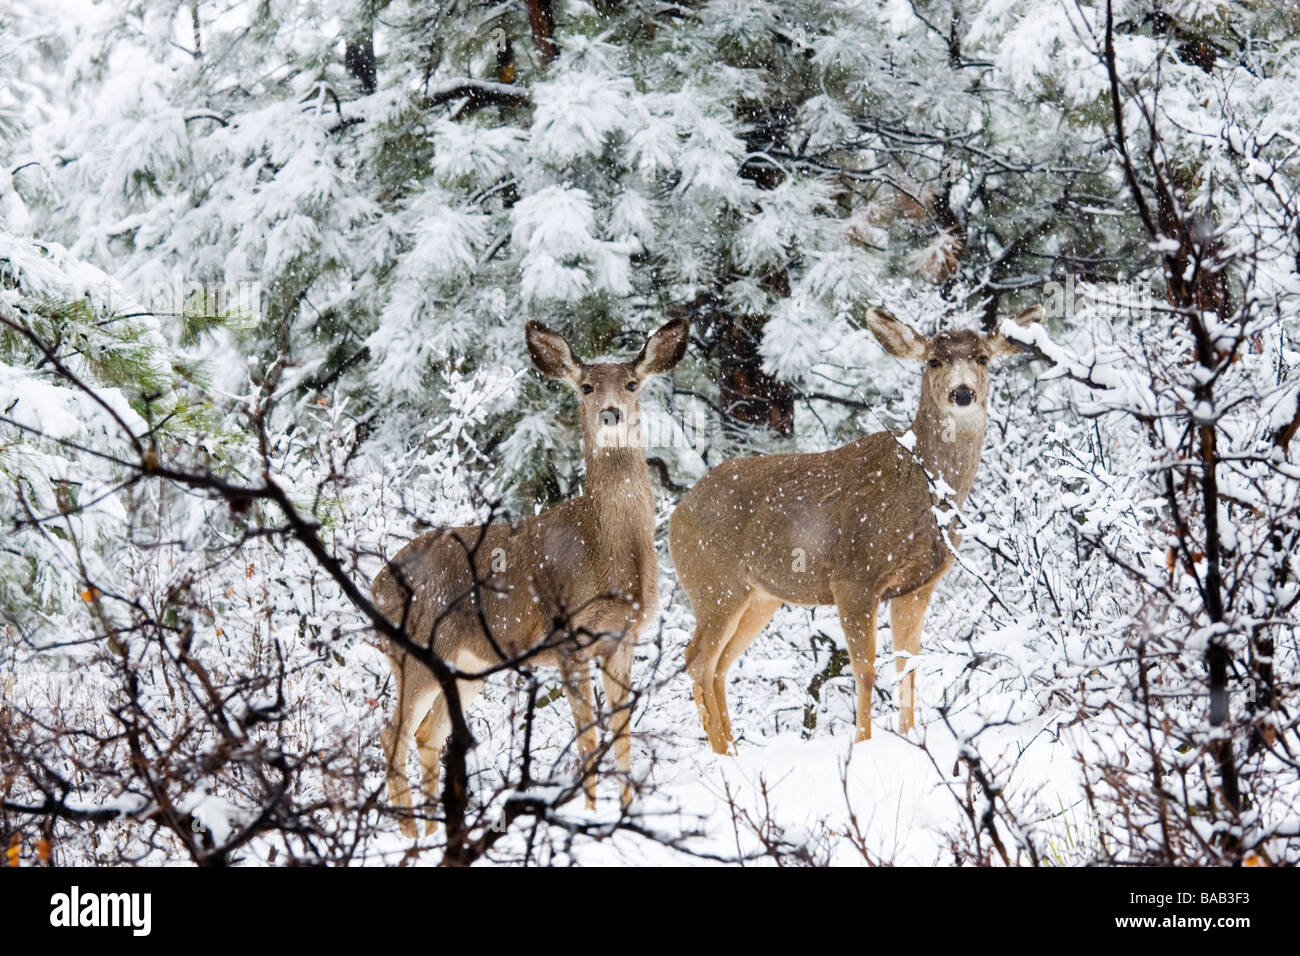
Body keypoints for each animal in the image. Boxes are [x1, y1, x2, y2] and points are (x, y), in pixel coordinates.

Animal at [372, 318, 689, 836]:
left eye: (631, 383)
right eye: (586, 387)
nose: (610, 415)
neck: (608, 553)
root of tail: (376, 583)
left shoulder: (622, 639)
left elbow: (621, 734)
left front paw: (627, 813)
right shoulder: (567, 637)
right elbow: (587, 736)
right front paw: (589, 815)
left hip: (466, 664)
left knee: (426, 734)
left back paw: (437, 830)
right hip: (411, 650)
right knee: (391, 734)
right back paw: (411, 836)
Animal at [668, 305, 1042, 754]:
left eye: (983, 358)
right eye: (933, 360)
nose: (963, 393)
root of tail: (674, 517)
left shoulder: (918, 585)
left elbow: (908, 665)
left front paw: (909, 737)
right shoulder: (853, 578)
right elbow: (865, 670)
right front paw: (863, 744)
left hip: (759, 596)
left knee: (721, 664)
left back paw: (735, 751)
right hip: (713, 583)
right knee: (697, 660)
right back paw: (724, 754)